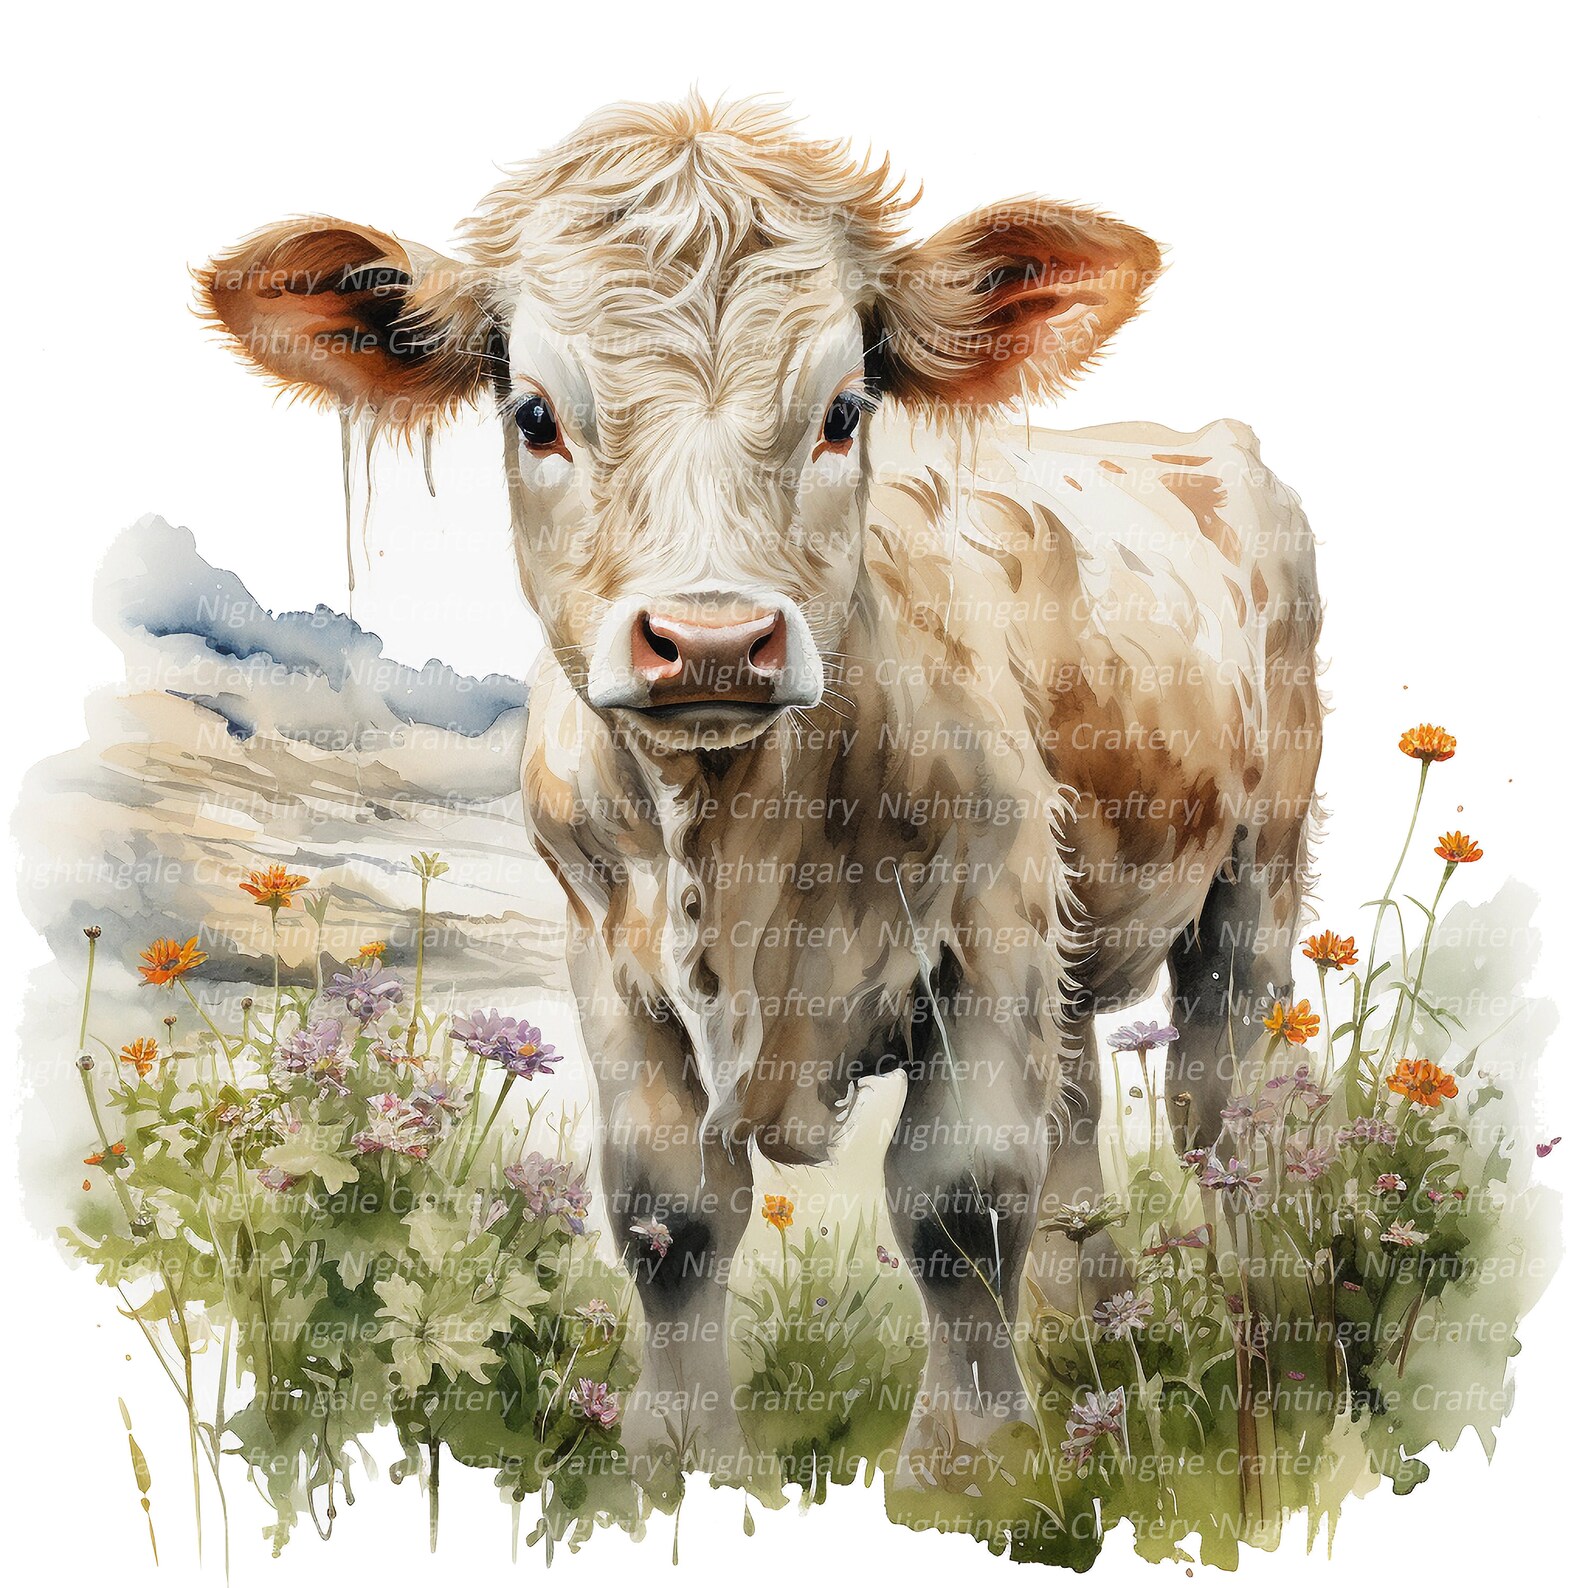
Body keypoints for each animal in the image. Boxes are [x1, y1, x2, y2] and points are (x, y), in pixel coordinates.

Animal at [200, 93, 1322, 1491]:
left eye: (843, 408)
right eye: (533, 415)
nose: (712, 639)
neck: (737, 841)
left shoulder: (990, 925)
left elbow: (960, 1202)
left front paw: (974, 1464)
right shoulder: (609, 958)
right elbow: (668, 1214)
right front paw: (677, 1460)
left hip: (1257, 870)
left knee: (1219, 1112)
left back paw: (1246, 1332)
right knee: (1077, 1117)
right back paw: (1093, 1324)